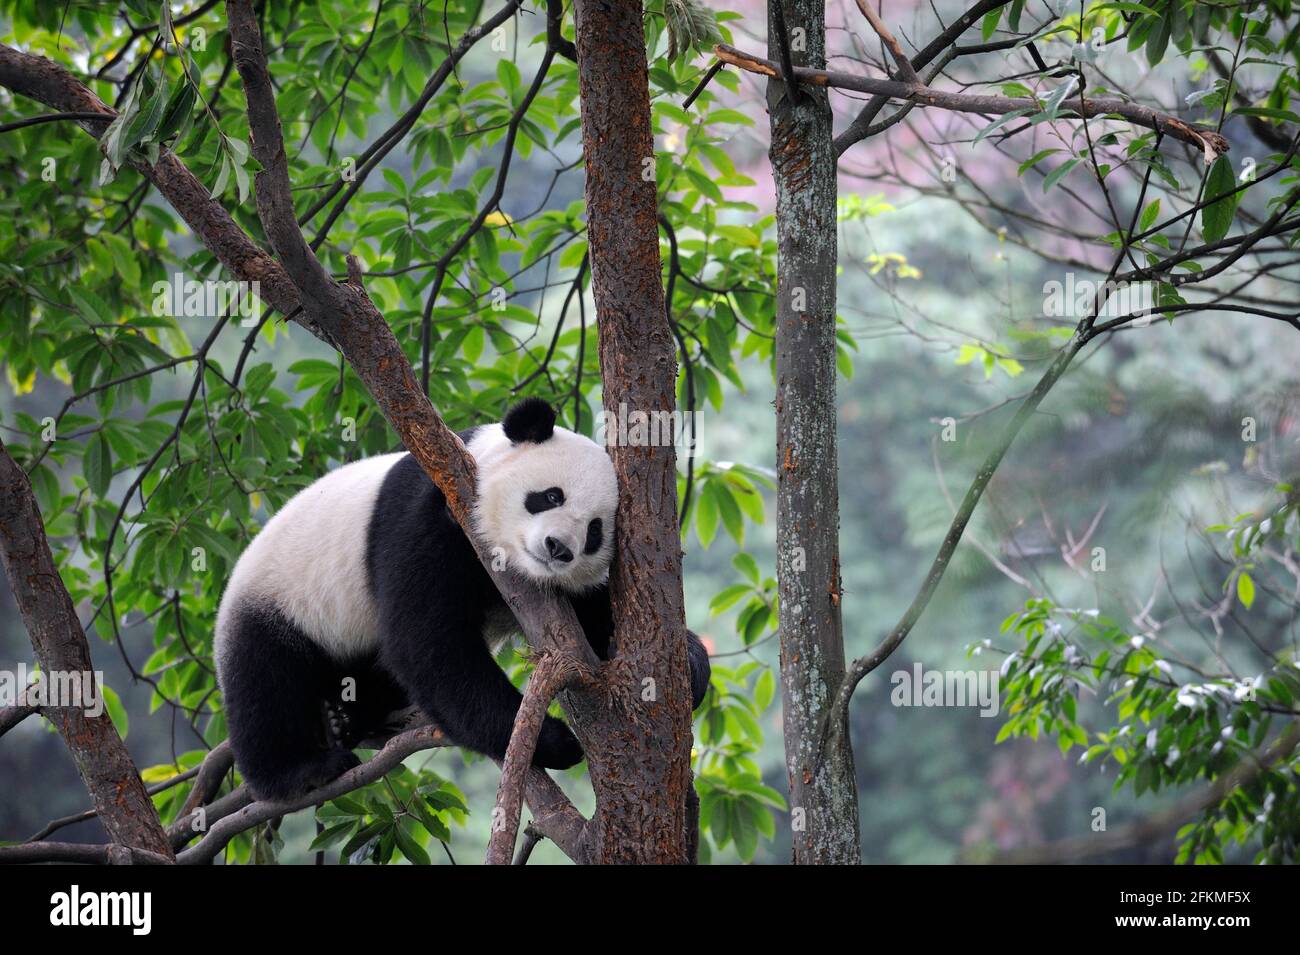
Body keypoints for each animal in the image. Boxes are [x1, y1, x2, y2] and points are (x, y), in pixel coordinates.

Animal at [215, 397, 711, 802]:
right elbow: (428, 642)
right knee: (265, 681)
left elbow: (594, 618)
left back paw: (349, 717)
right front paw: (554, 740)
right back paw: (302, 771)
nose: (558, 548)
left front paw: (689, 665)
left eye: (594, 532)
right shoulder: (431, 513)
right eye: (550, 496)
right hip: (278, 598)